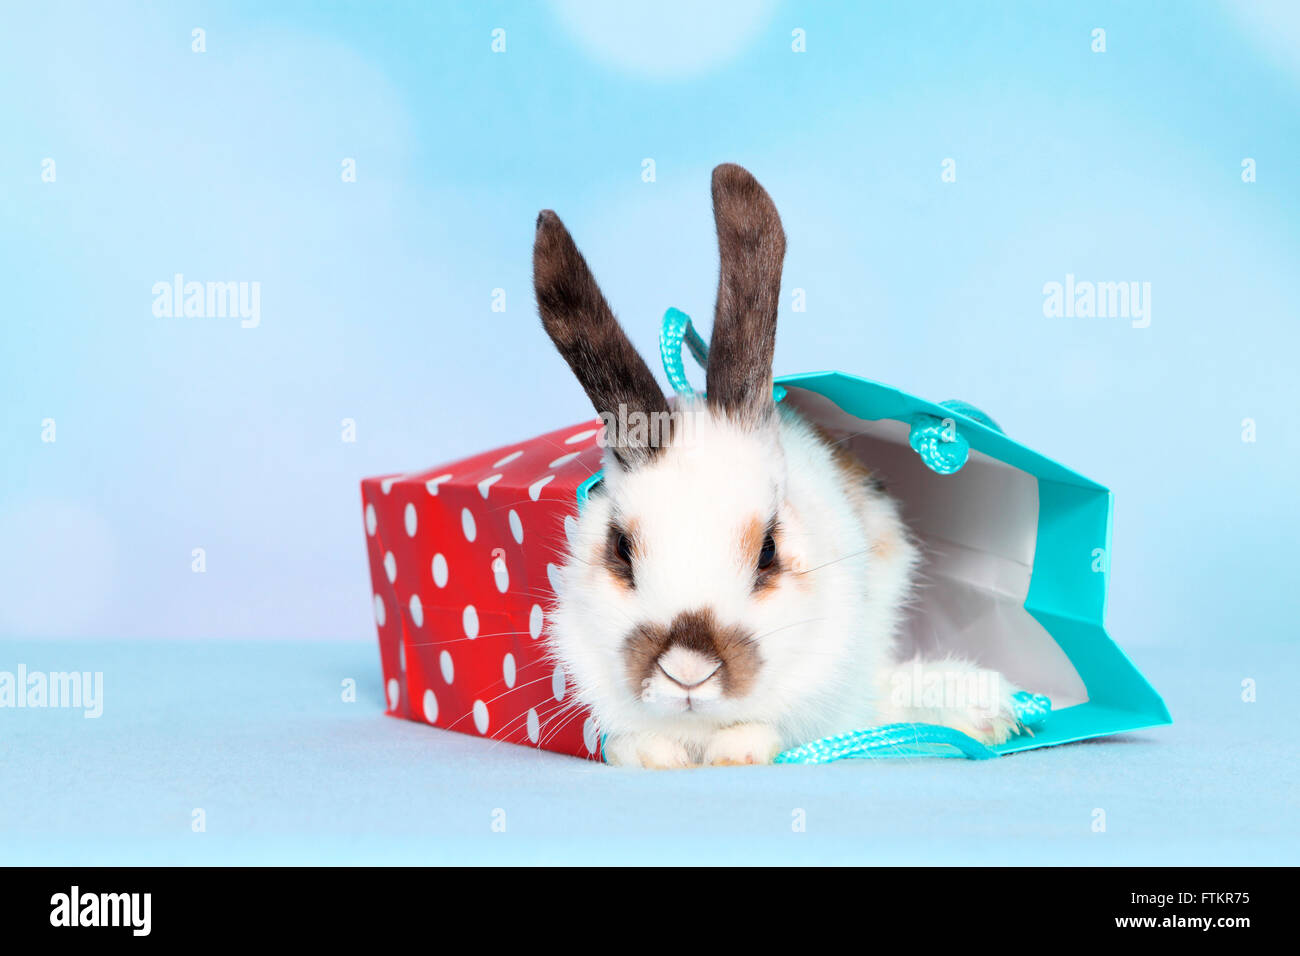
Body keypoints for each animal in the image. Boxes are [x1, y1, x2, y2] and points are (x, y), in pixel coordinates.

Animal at [533, 163, 1026, 767]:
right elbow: (629, 741)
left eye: (768, 550)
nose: (689, 673)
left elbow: (767, 729)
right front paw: (659, 755)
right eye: (620, 549)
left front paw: (736, 752)